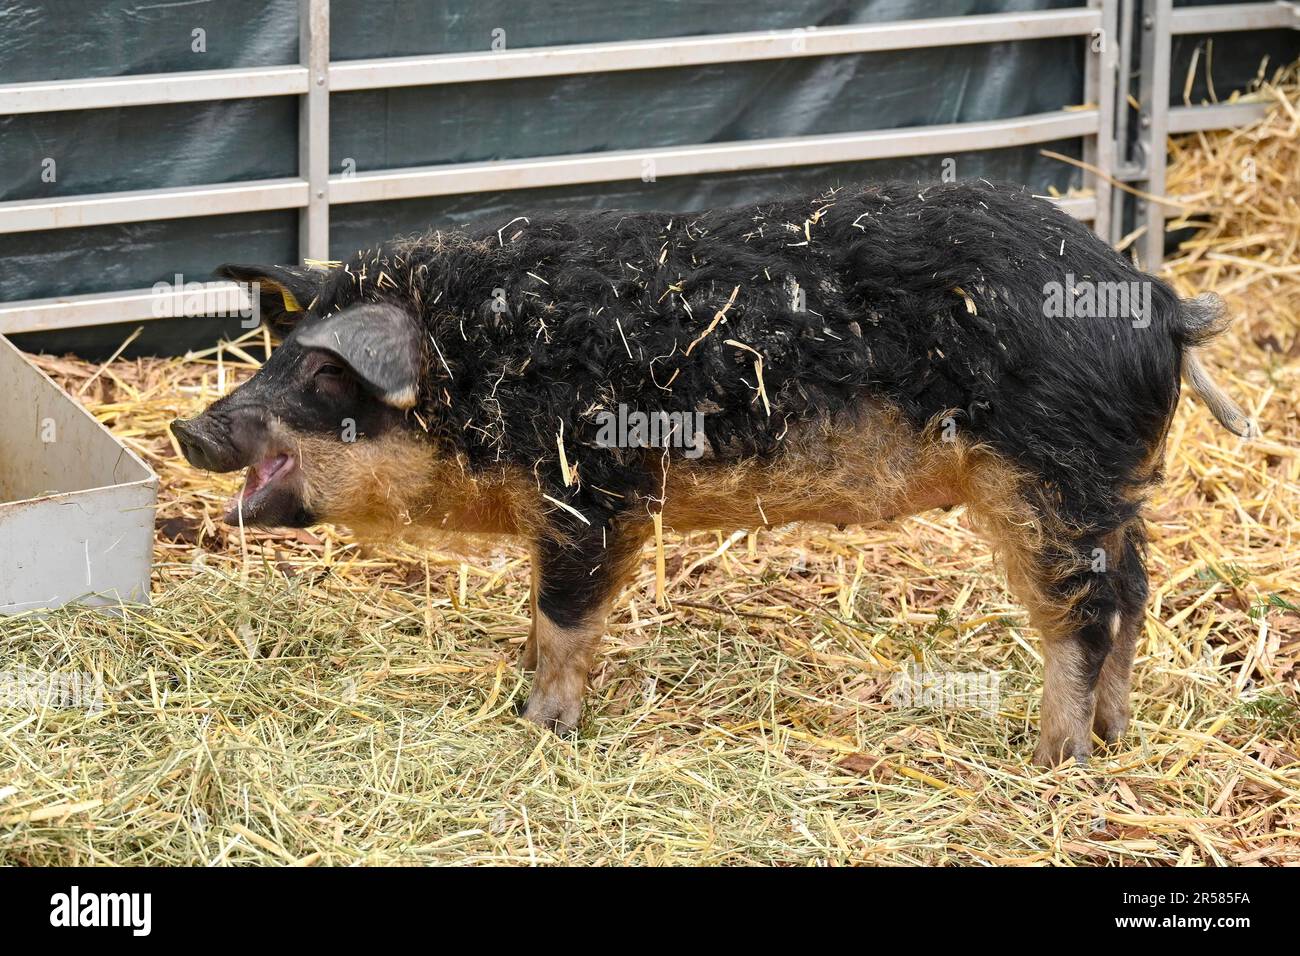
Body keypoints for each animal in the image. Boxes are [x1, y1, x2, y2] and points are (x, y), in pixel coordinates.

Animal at [171, 181, 1255, 766]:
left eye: (324, 375)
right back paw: (1113, 737)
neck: (485, 364)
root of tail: (1159, 302)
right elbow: (538, 614)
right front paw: (519, 684)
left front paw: (542, 727)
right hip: (1110, 487)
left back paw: (1050, 759)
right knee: (1137, 592)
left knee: (1085, 613)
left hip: (1049, 479)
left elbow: (566, 616)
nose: (187, 426)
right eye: (277, 354)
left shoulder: (597, 488)